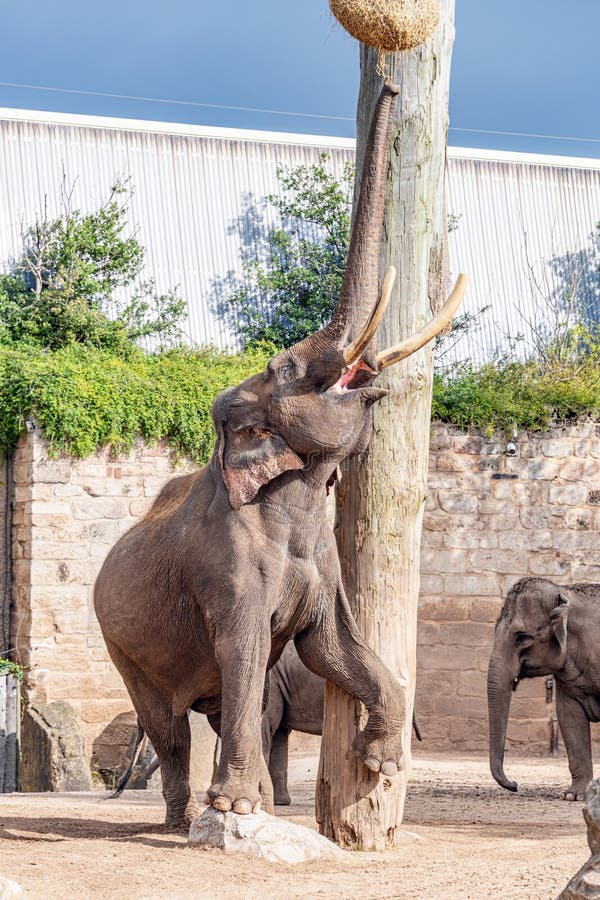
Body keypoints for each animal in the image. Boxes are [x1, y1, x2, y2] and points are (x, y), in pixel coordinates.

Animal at [94, 77, 467, 827]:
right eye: (288, 366)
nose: (389, 81)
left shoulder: (325, 563)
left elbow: (336, 649)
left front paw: (381, 764)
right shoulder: (226, 571)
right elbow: (243, 650)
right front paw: (238, 807)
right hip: (121, 644)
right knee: (167, 725)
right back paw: (184, 820)